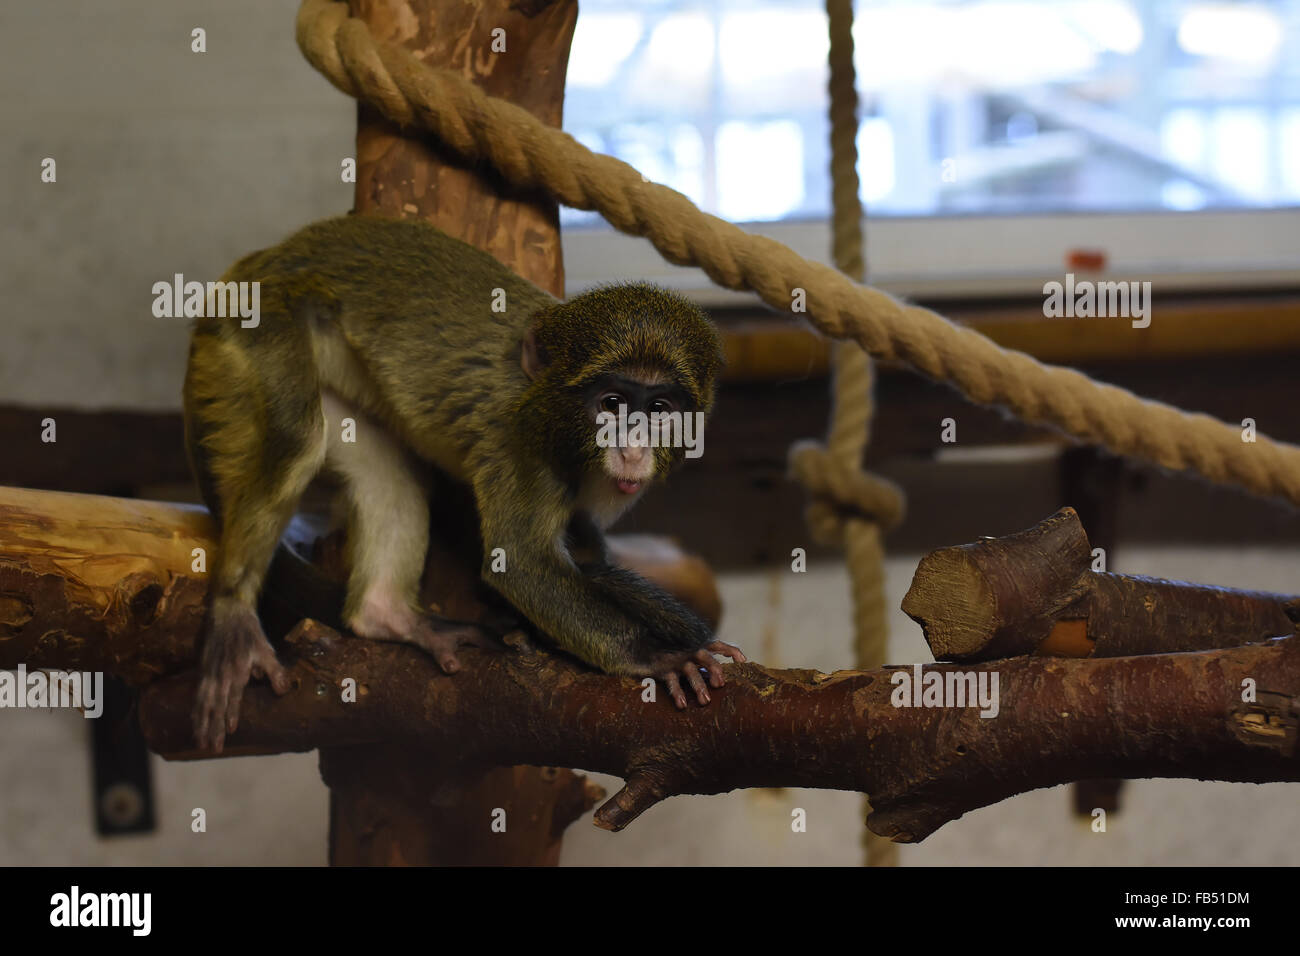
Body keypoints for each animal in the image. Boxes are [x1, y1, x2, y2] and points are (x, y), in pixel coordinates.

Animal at [184, 214, 745, 752]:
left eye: (659, 409)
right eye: (612, 404)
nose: (632, 448)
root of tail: (258, 263)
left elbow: (589, 560)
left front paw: (686, 634)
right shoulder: (516, 436)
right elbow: (520, 562)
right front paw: (660, 656)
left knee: (390, 473)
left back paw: (388, 615)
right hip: (263, 326)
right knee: (299, 435)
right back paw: (235, 618)